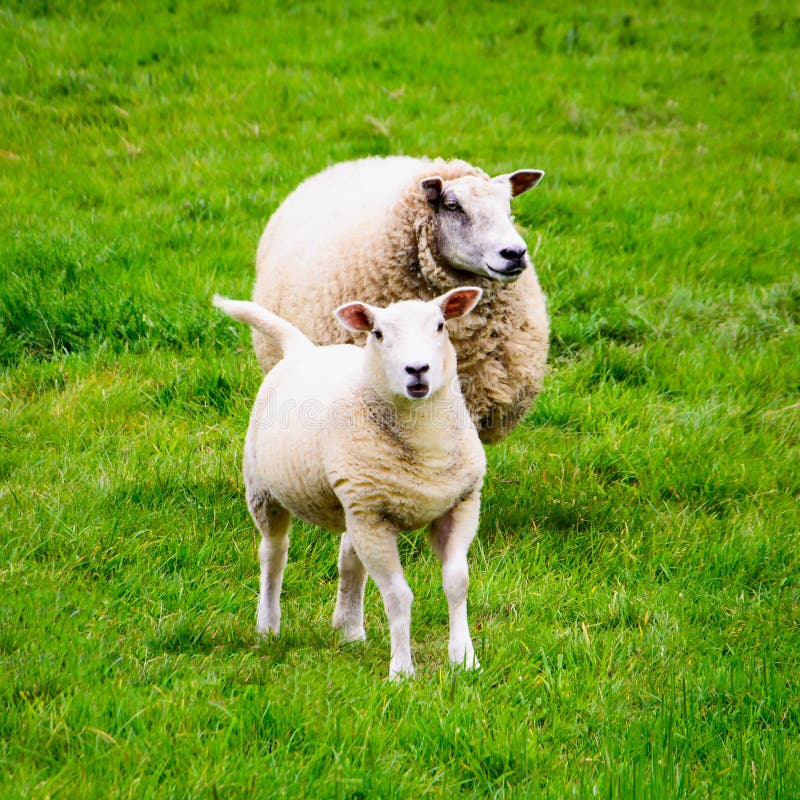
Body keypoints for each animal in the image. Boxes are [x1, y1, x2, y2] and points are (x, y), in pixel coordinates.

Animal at [213, 286, 487, 680]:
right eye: (378, 334)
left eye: (440, 326)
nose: (417, 370)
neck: (425, 441)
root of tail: (304, 349)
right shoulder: (373, 519)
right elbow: (398, 596)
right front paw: (402, 672)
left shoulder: (459, 505)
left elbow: (457, 582)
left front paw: (465, 660)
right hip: (265, 490)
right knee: (273, 554)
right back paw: (268, 627)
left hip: (353, 506)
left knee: (348, 560)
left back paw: (349, 629)